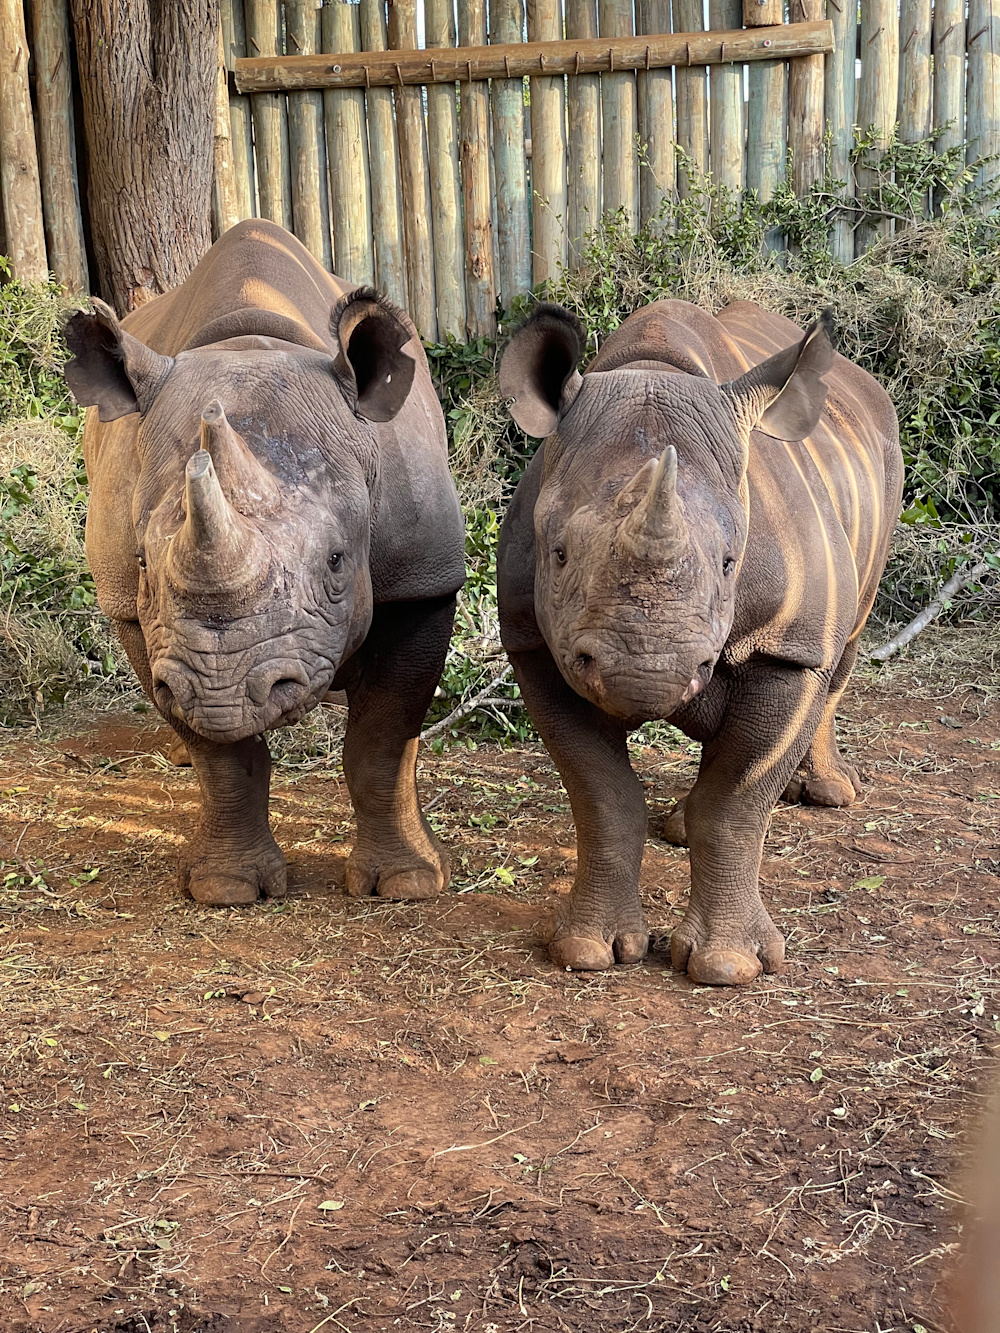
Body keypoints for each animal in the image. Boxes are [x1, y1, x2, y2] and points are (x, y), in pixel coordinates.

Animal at [65, 220, 464, 906]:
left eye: (336, 561)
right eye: (142, 564)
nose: (223, 690)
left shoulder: (424, 579)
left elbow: (383, 741)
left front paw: (408, 883)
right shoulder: (142, 618)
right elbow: (223, 757)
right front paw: (225, 887)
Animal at [497, 299, 902, 985]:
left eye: (730, 563)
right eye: (558, 554)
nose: (648, 671)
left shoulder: (788, 648)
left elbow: (735, 801)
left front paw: (727, 966)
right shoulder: (536, 646)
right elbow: (602, 796)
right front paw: (587, 951)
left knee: (843, 650)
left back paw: (827, 795)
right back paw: (679, 827)